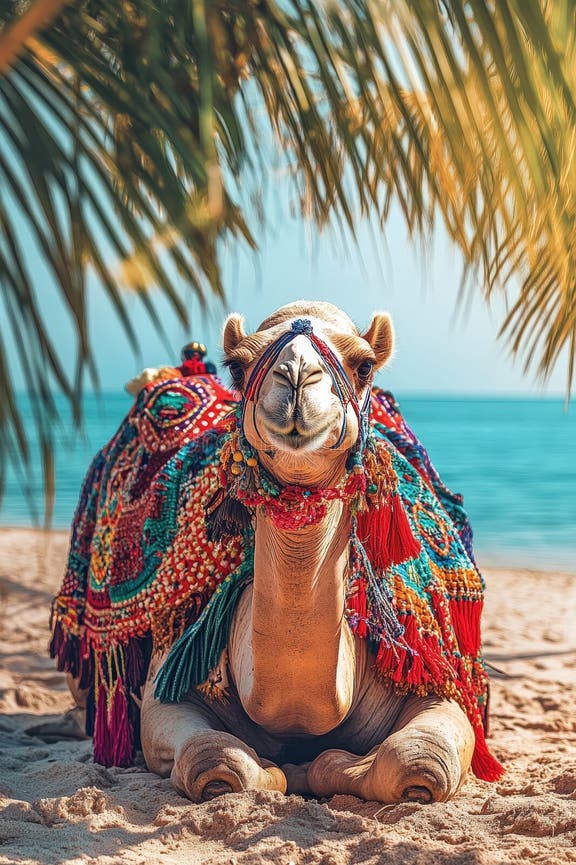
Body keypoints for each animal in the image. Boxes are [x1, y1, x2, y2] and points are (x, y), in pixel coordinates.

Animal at [51, 300, 502, 805]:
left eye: (365, 365)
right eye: (238, 366)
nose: (297, 377)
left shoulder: (434, 673)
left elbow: (420, 764)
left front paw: (325, 765)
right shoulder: (168, 682)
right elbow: (216, 762)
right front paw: (279, 768)